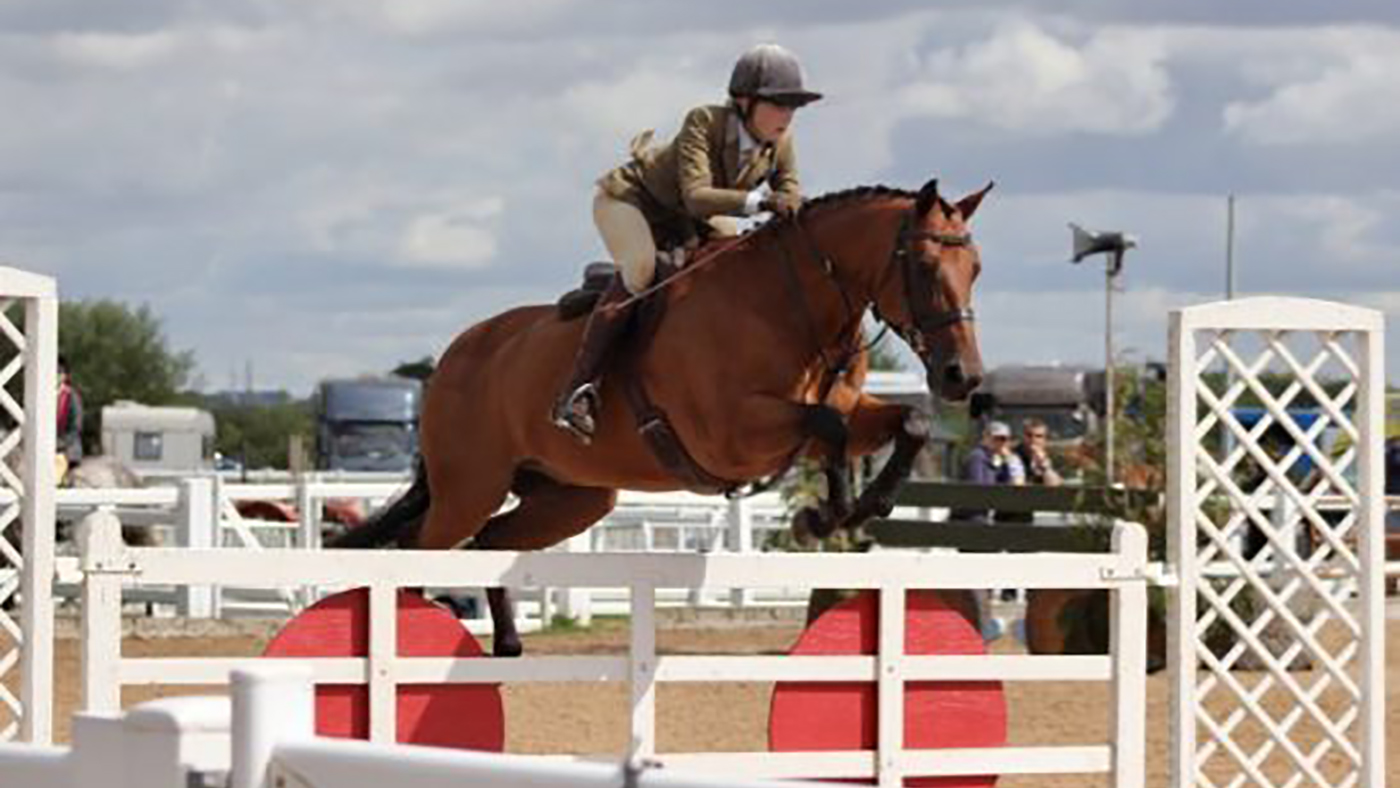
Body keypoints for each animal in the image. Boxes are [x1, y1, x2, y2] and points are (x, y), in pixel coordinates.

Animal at [334, 178, 990, 656]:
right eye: (924, 267)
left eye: (976, 269)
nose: (963, 376)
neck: (793, 306)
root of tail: (455, 357)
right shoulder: (732, 435)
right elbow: (826, 429)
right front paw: (826, 514)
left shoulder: (841, 411)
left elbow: (904, 424)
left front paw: (861, 505)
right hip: (470, 488)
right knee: (417, 548)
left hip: (572, 498)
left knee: (489, 541)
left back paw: (510, 644)